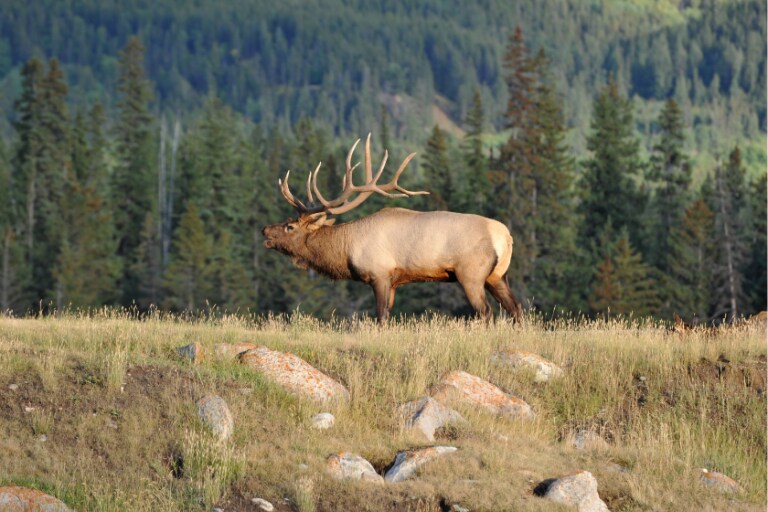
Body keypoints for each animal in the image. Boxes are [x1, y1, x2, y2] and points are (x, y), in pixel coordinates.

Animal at [262, 134, 523, 323]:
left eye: (289, 226)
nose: (265, 230)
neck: (346, 252)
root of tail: (506, 237)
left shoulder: (379, 274)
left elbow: (381, 317)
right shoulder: (395, 281)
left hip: (471, 273)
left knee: (486, 311)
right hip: (498, 275)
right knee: (516, 308)